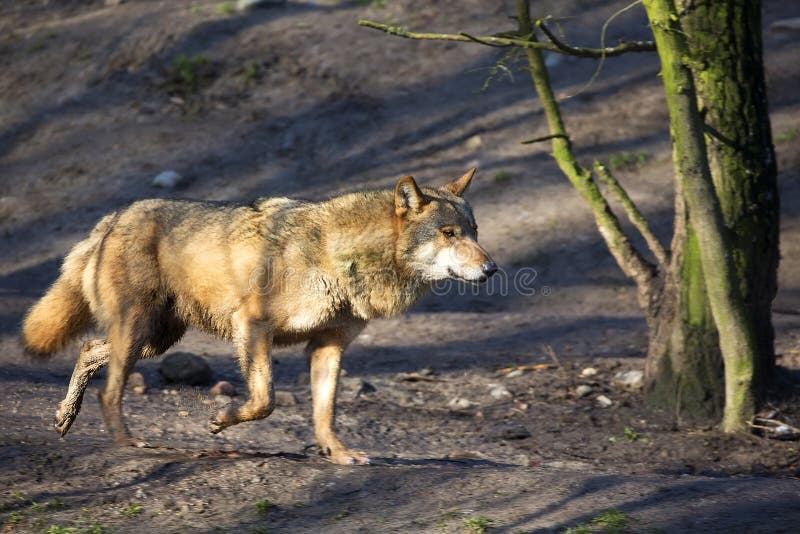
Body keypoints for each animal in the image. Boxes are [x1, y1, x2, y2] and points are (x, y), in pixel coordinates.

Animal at [21, 168, 496, 464]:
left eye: (474, 232)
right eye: (448, 234)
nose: (492, 269)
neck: (340, 256)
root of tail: (113, 217)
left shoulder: (328, 345)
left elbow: (325, 413)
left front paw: (338, 454)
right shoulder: (252, 325)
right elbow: (265, 400)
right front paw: (222, 420)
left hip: (154, 340)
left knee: (87, 348)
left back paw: (65, 418)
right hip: (139, 334)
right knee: (109, 391)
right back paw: (125, 442)